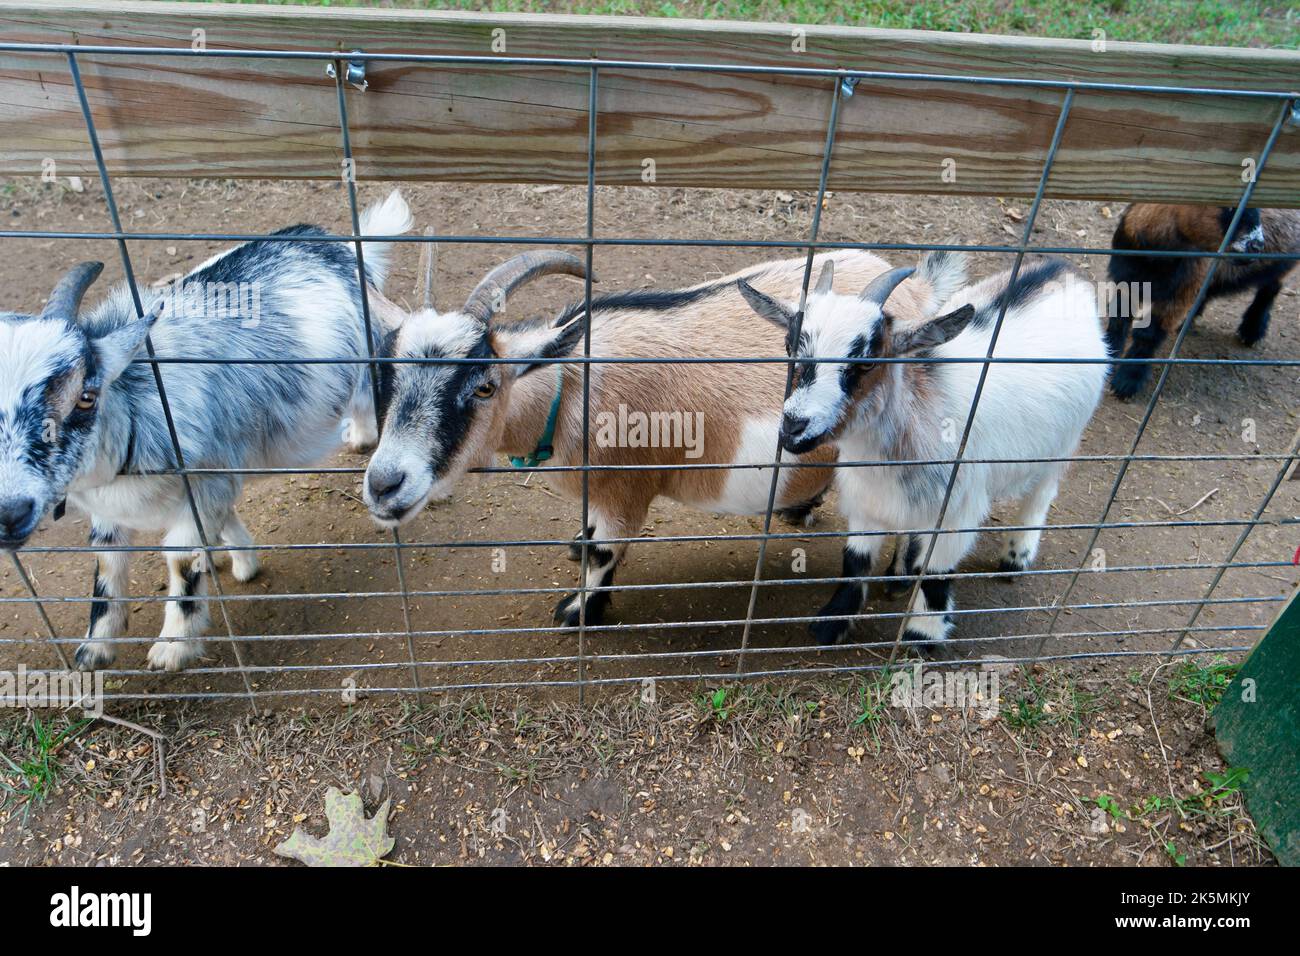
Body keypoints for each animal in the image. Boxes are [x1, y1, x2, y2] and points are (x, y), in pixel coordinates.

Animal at [0, 190, 412, 671]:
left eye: (86, 396)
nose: (10, 512)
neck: (137, 409)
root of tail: (338, 247)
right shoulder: (122, 506)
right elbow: (107, 564)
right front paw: (94, 648)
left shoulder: (206, 479)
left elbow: (180, 559)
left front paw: (173, 646)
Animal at [362, 247, 962, 628]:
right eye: (386, 373)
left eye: (485, 385)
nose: (385, 484)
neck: (570, 386)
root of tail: (925, 293)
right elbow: (590, 539)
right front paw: (578, 555)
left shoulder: (625, 487)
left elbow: (605, 550)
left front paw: (580, 613)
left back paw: (898, 578)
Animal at [738, 253, 1107, 649]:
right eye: (789, 346)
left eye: (868, 360)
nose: (793, 426)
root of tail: (1063, 268)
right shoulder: (868, 499)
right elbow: (855, 560)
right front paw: (832, 622)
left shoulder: (957, 508)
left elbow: (935, 573)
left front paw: (923, 633)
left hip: (1063, 442)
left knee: (1042, 492)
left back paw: (1016, 556)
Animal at [1106, 204, 1299, 399]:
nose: (1257, 246)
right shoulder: (1127, 277)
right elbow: (1118, 319)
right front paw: (1109, 353)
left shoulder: (1180, 293)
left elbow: (1148, 334)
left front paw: (1128, 380)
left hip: (1281, 264)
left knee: (1270, 288)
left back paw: (1252, 330)